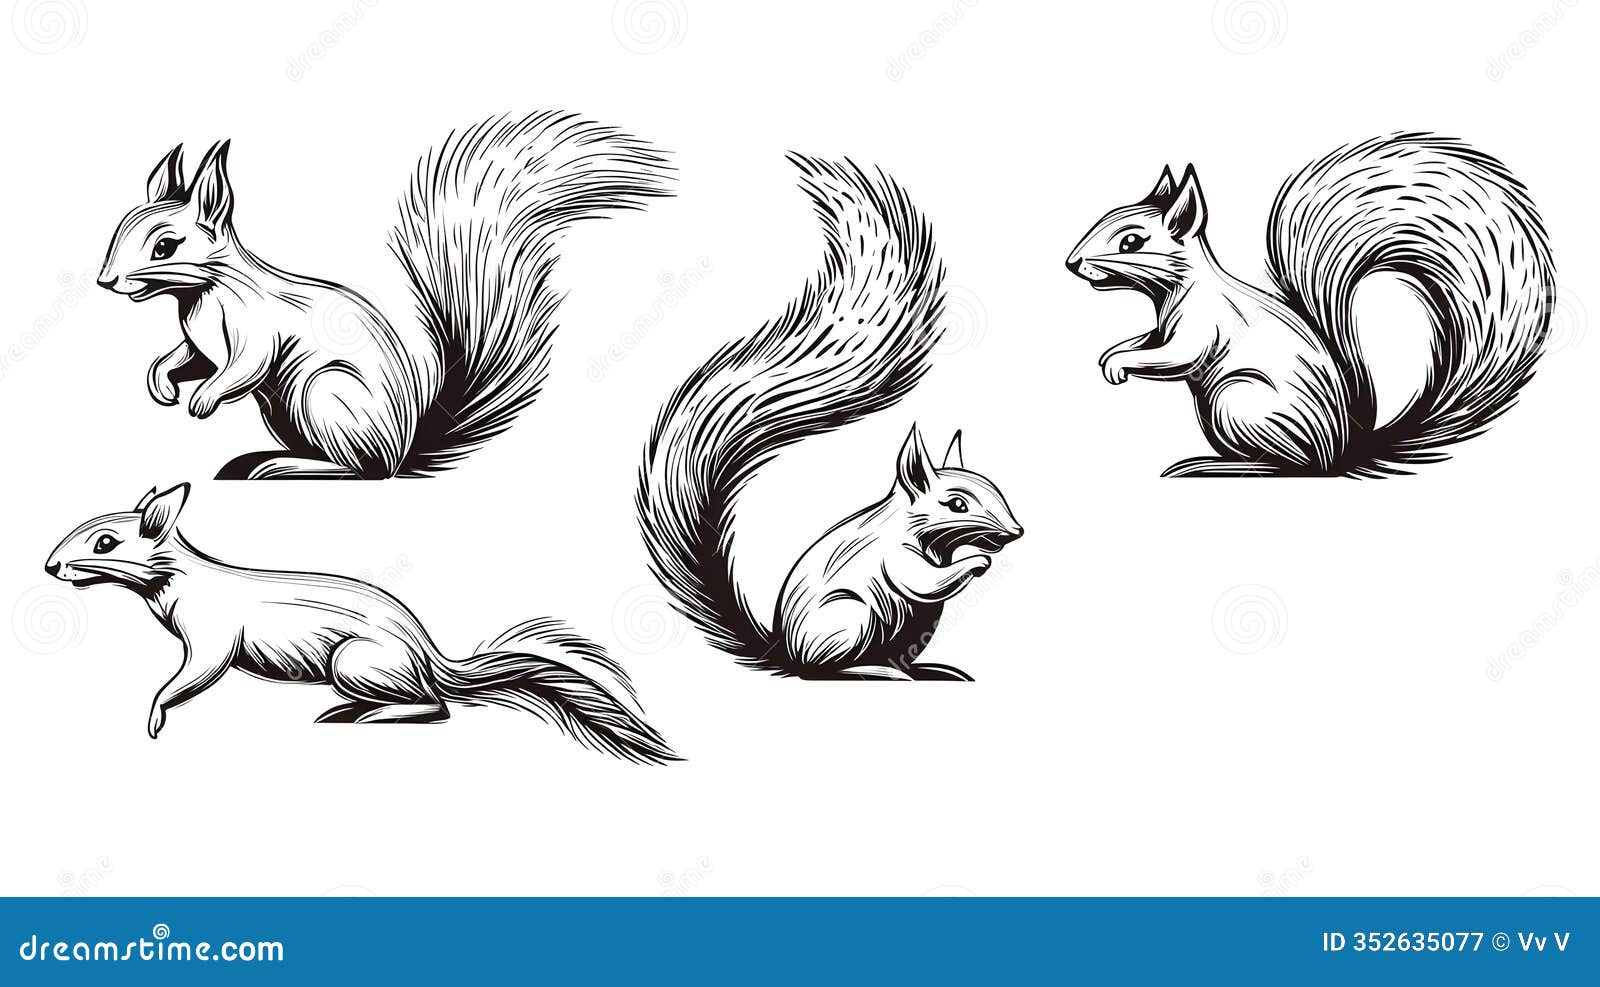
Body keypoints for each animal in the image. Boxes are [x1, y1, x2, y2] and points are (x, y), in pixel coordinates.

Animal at [45, 483, 678, 764]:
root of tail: (430, 660)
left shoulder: (212, 637)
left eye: (105, 543)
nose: (51, 566)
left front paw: (154, 715)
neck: (178, 577)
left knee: (435, 709)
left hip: (355, 663)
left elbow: (194, 676)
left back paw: (363, 716)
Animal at [97, 112, 673, 479]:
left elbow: (243, 368)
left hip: (327, 395)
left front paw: (202, 399)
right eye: (120, 229)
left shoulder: (256, 328)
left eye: (165, 246)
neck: (199, 293)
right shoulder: (199, 342)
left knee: (362, 471)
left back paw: (285, 465)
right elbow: (185, 359)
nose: (105, 282)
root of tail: (404, 450)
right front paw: (161, 383)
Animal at [636, 156, 1022, 681]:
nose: (1015, 533)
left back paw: (926, 671)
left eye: (996, 491)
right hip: (850, 617)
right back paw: (869, 672)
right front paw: (977, 561)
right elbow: (921, 580)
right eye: (956, 504)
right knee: (826, 670)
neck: (921, 532)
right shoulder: (896, 555)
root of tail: (783, 650)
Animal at [1065, 132, 1555, 477]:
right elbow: (1147, 339)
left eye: (1132, 241)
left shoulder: (1203, 329)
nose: (1071, 263)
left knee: (1294, 468)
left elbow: (1174, 357)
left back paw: (1222, 466)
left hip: (1237, 402)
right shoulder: (1162, 325)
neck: (1176, 290)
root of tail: (1341, 451)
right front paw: (1113, 354)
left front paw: (1119, 364)